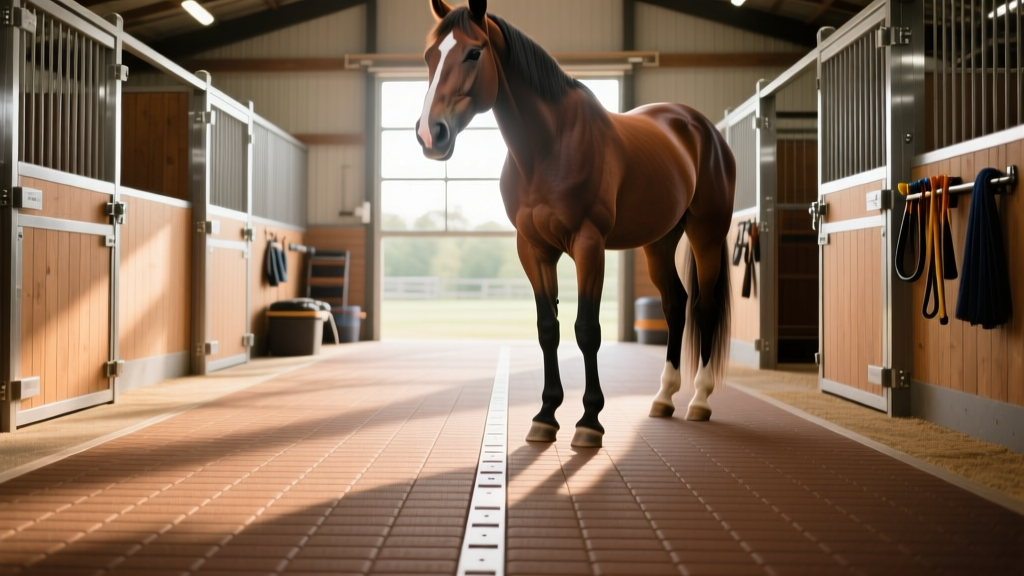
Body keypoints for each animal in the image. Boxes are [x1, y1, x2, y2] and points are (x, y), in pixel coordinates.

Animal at [416, 0, 736, 448]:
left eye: (474, 52)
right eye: (430, 56)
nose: (431, 135)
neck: (548, 148)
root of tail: (702, 128)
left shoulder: (588, 244)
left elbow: (587, 330)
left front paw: (589, 421)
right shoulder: (533, 249)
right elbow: (547, 328)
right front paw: (545, 416)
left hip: (706, 233)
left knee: (704, 306)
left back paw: (700, 401)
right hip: (658, 241)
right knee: (675, 304)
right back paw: (663, 398)